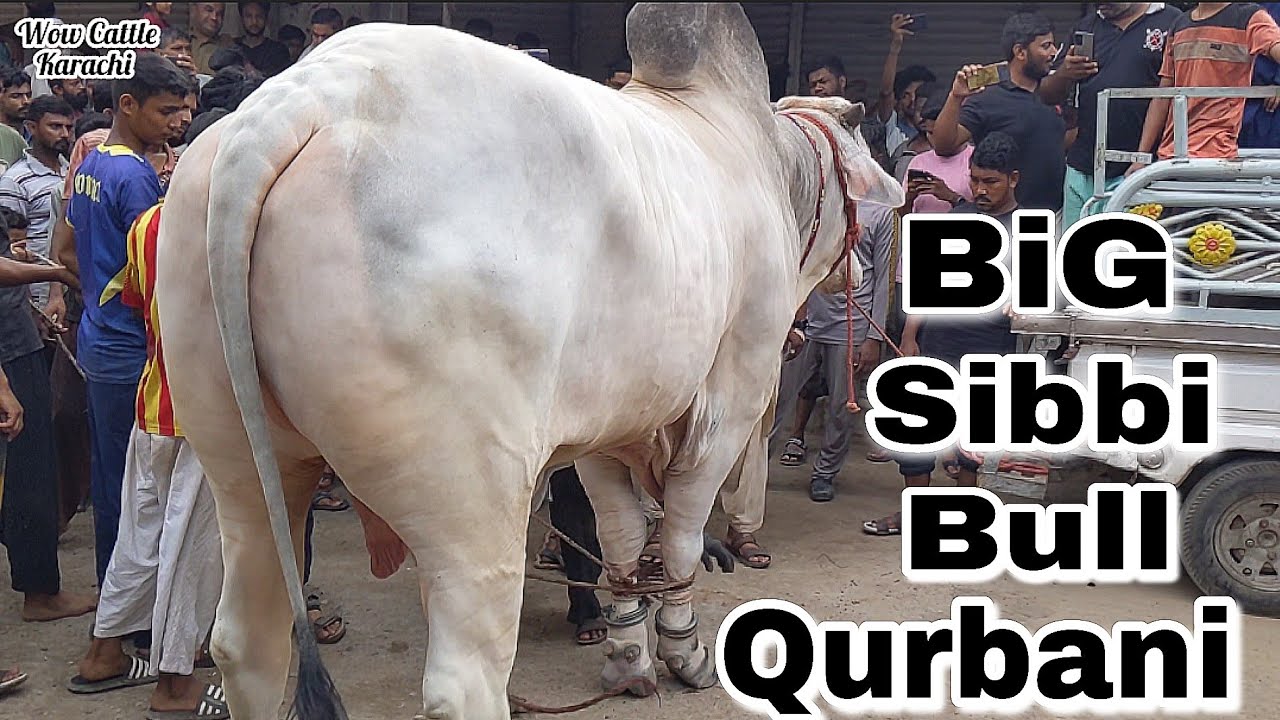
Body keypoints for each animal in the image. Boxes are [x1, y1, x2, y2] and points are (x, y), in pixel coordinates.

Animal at [154, 3, 903, 719]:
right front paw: (683, 653)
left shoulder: (612, 422)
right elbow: (682, 537)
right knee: (464, 679)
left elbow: (622, 538)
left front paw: (628, 656)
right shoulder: (732, 399)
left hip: (244, 470)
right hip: (473, 496)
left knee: (247, 640)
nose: (864, 264)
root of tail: (304, 98)